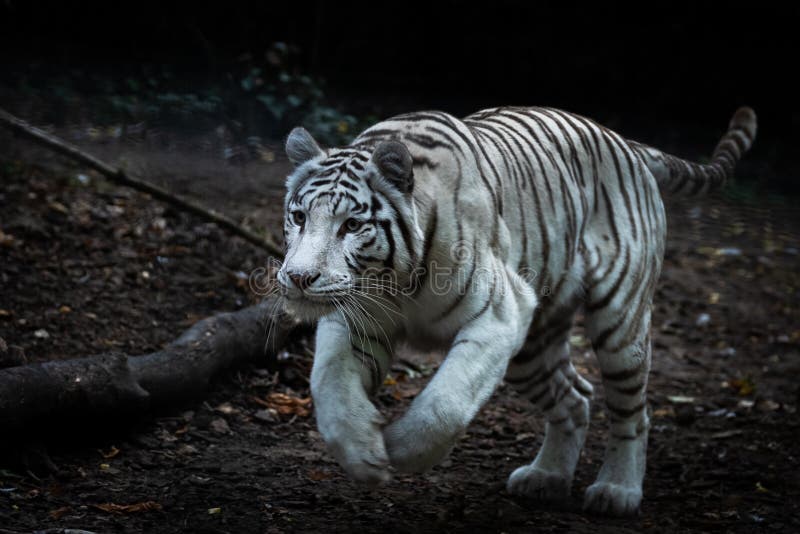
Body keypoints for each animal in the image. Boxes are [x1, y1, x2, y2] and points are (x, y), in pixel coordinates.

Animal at [276, 105, 756, 516]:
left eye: (352, 225)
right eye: (299, 217)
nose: (299, 277)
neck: (392, 281)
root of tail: (628, 143)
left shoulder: (501, 310)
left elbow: (445, 403)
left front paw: (398, 448)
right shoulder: (354, 319)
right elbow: (330, 385)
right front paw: (363, 454)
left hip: (620, 321)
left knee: (633, 411)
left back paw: (617, 491)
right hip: (532, 346)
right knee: (575, 398)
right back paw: (546, 478)